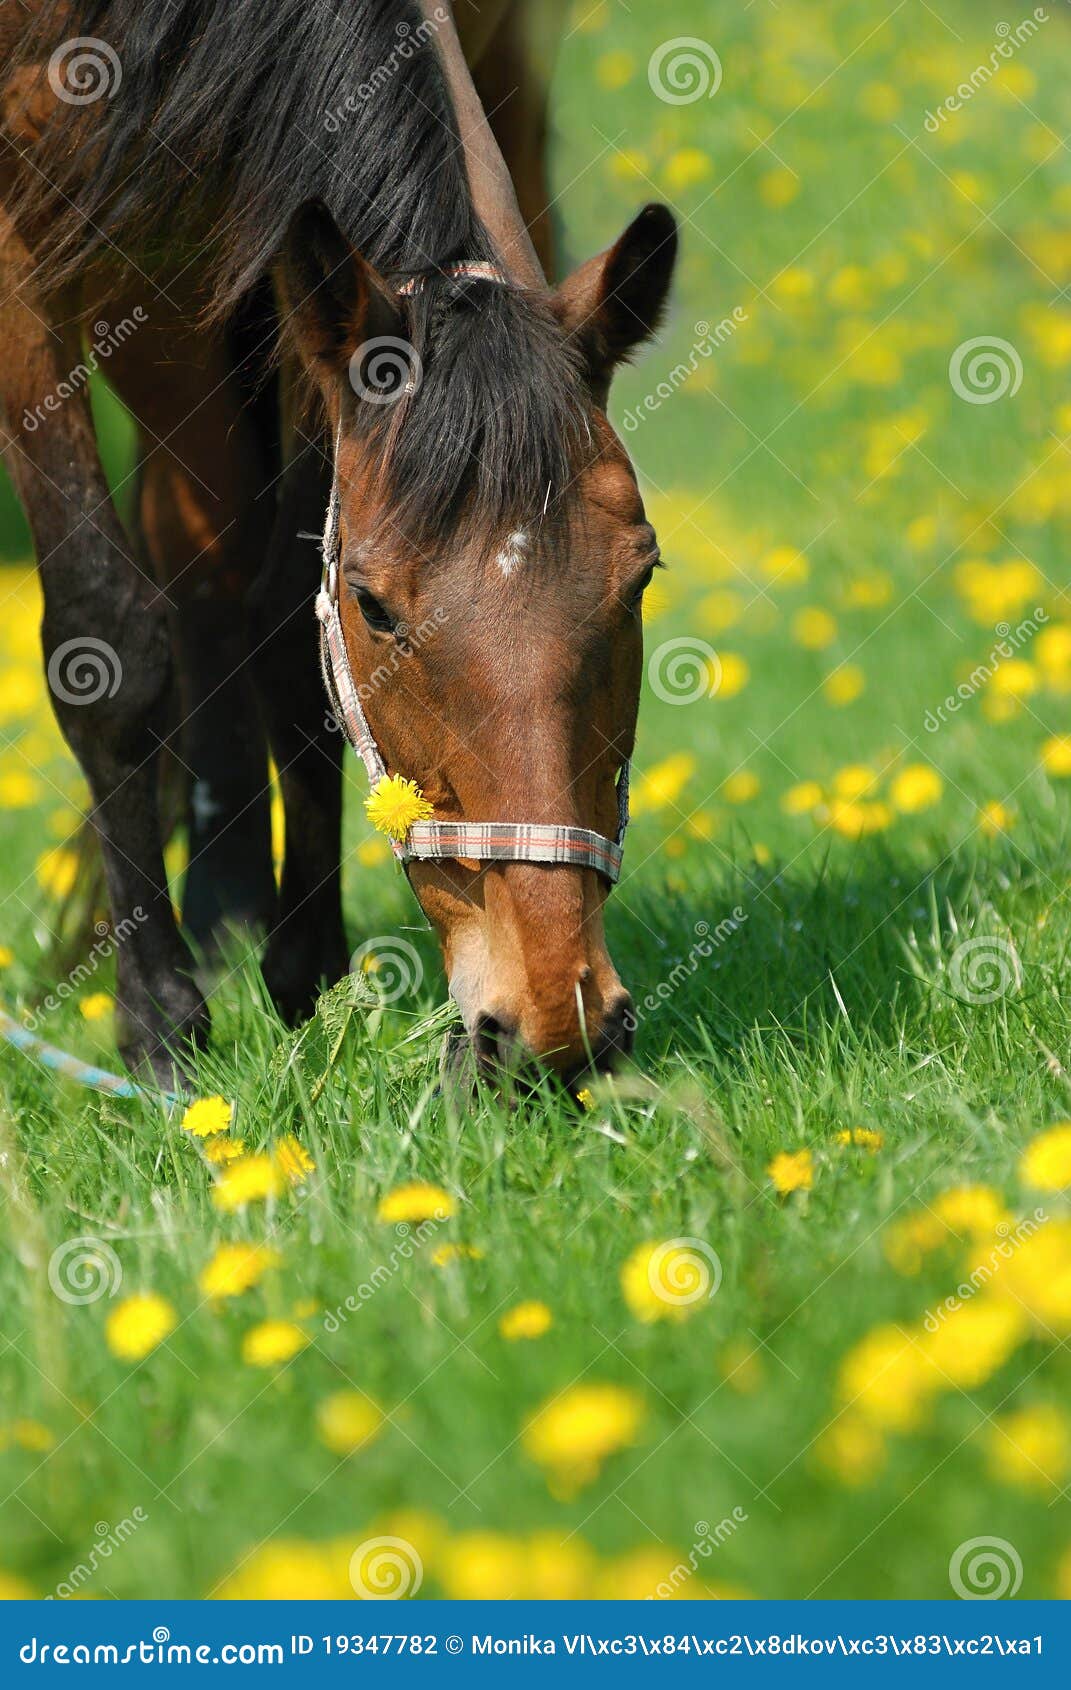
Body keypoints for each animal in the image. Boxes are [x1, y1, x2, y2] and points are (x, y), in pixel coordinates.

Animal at [0, 0, 678, 1090]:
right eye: (374, 607)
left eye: (639, 579)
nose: (555, 1017)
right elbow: (107, 642)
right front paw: (158, 1026)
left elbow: (286, 629)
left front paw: (304, 970)